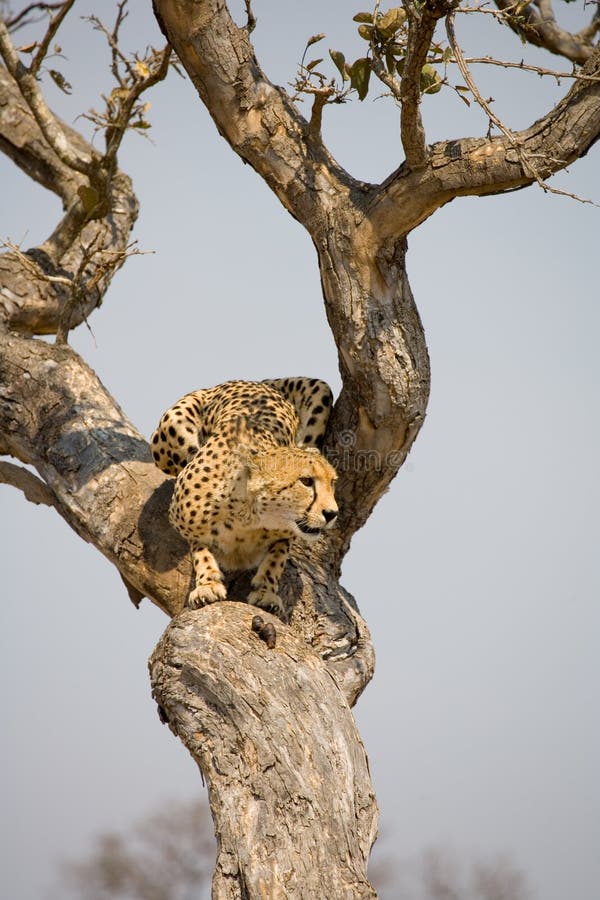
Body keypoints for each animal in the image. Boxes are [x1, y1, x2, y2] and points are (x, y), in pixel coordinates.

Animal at [151, 378, 338, 615]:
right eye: (306, 481)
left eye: (332, 482)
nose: (332, 514)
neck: (248, 516)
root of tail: (255, 382)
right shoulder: (184, 519)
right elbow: (200, 549)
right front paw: (207, 584)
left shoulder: (286, 534)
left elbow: (278, 556)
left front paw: (266, 591)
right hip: (169, 432)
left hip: (320, 393)